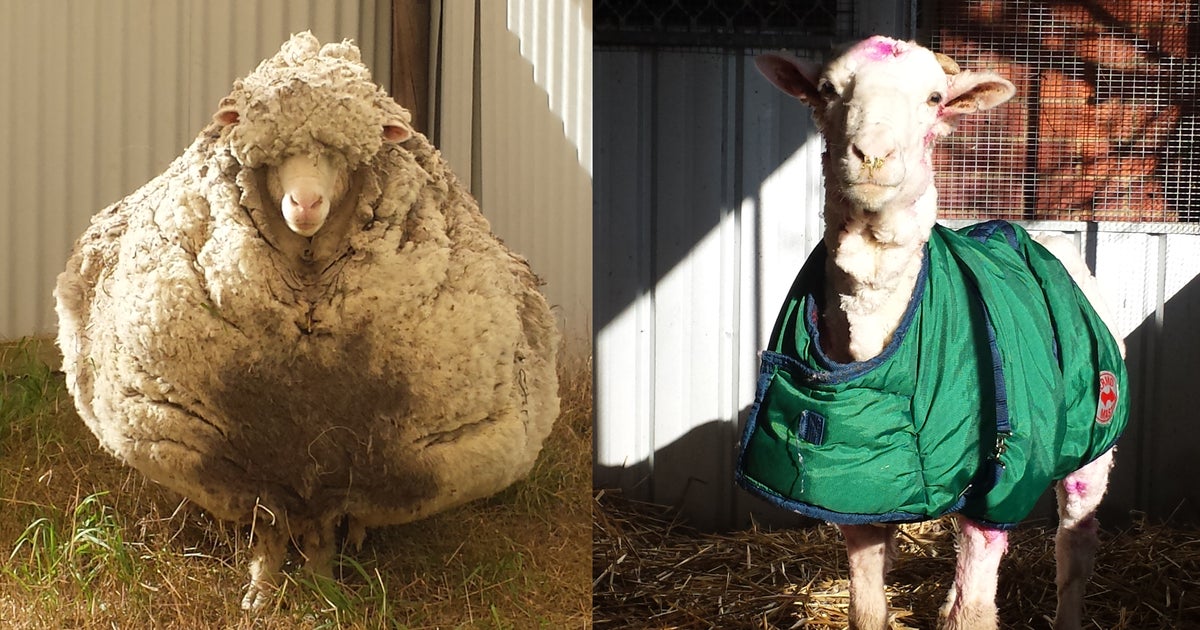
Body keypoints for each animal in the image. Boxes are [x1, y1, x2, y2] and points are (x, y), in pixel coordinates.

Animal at [54, 31, 560, 610]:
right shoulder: (250, 466)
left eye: (341, 158)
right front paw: (260, 596)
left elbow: (324, 534)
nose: (306, 203)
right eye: (272, 159)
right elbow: (270, 532)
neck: (308, 285)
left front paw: (323, 594)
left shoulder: (345, 472)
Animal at [735, 36, 1129, 630]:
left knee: (1074, 547)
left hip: (1094, 444)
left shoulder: (998, 488)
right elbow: (868, 610)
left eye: (935, 98)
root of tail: (1032, 232)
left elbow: (973, 614)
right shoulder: (858, 484)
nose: (872, 154)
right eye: (827, 89)